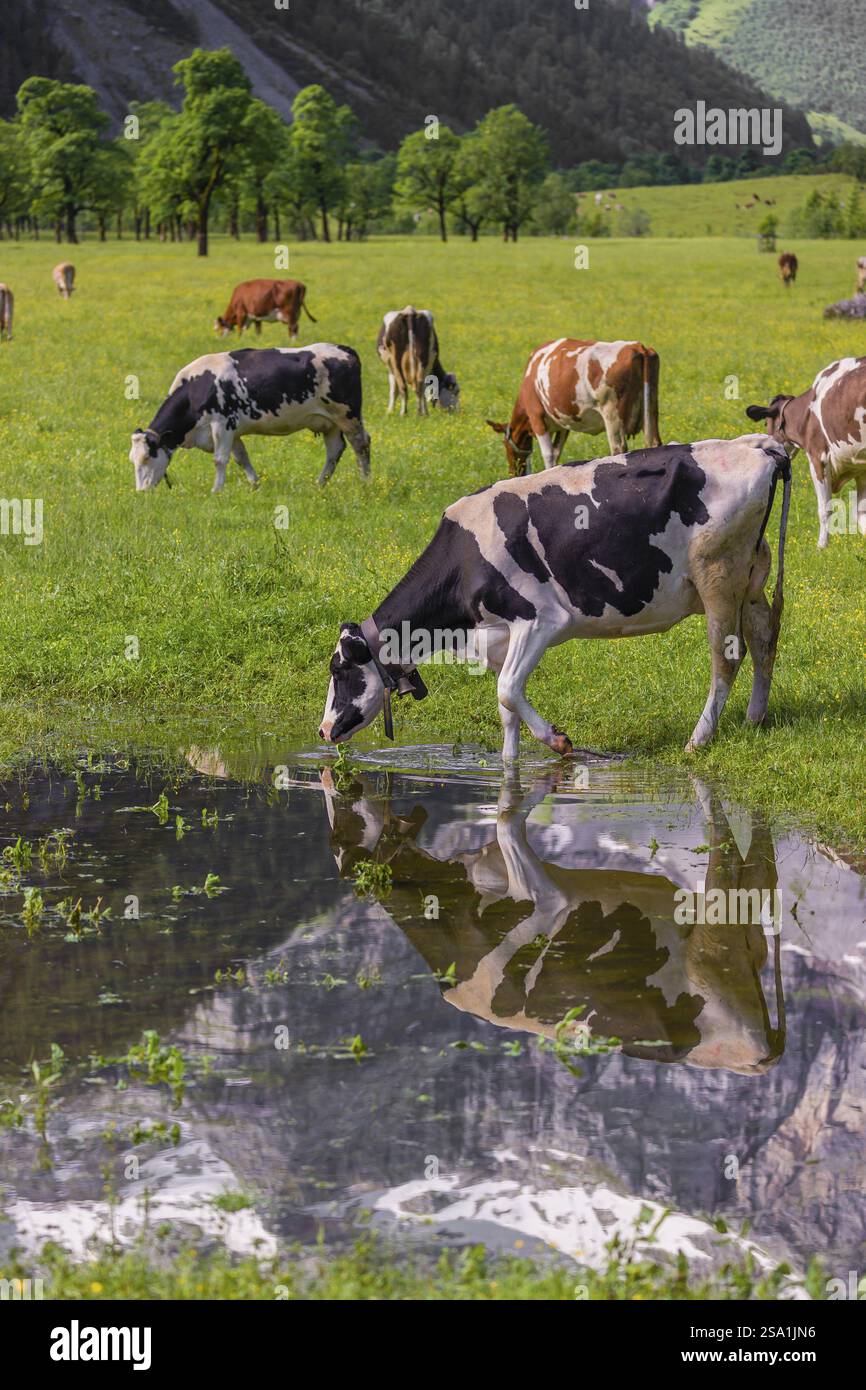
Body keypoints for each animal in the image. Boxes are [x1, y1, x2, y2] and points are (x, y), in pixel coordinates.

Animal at [129, 343, 371, 492]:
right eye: (133, 459)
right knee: (334, 451)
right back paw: (320, 484)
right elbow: (241, 457)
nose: (141, 491)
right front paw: (255, 484)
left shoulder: (222, 425)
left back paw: (365, 481)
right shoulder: (232, 431)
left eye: (148, 457)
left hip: (348, 416)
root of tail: (344, 349)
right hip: (329, 422)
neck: (197, 387)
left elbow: (220, 459)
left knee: (361, 444)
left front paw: (216, 490)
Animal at [319, 437, 791, 761]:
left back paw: (698, 739)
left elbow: (508, 690)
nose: (323, 731)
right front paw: (509, 766)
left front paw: (558, 741)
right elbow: (505, 706)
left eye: (339, 671)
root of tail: (755, 445)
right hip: (750, 581)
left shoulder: (540, 619)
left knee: (726, 658)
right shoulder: (499, 637)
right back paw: (755, 717)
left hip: (718, 578)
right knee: (764, 638)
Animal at [486, 338, 661, 477]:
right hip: (651, 411)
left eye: (506, 446)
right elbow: (556, 453)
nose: (514, 473)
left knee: (618, 449)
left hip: (611, 414)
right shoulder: (563, 424)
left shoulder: (536, 417)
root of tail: (639, 347)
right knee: (654, 443)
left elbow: (548, 455)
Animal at [747, 356, 866, 547]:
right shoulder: (860, 468)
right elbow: (861, 512)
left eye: (766, 423)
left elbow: (824, 508)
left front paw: (822, 547)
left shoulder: (818, 457)